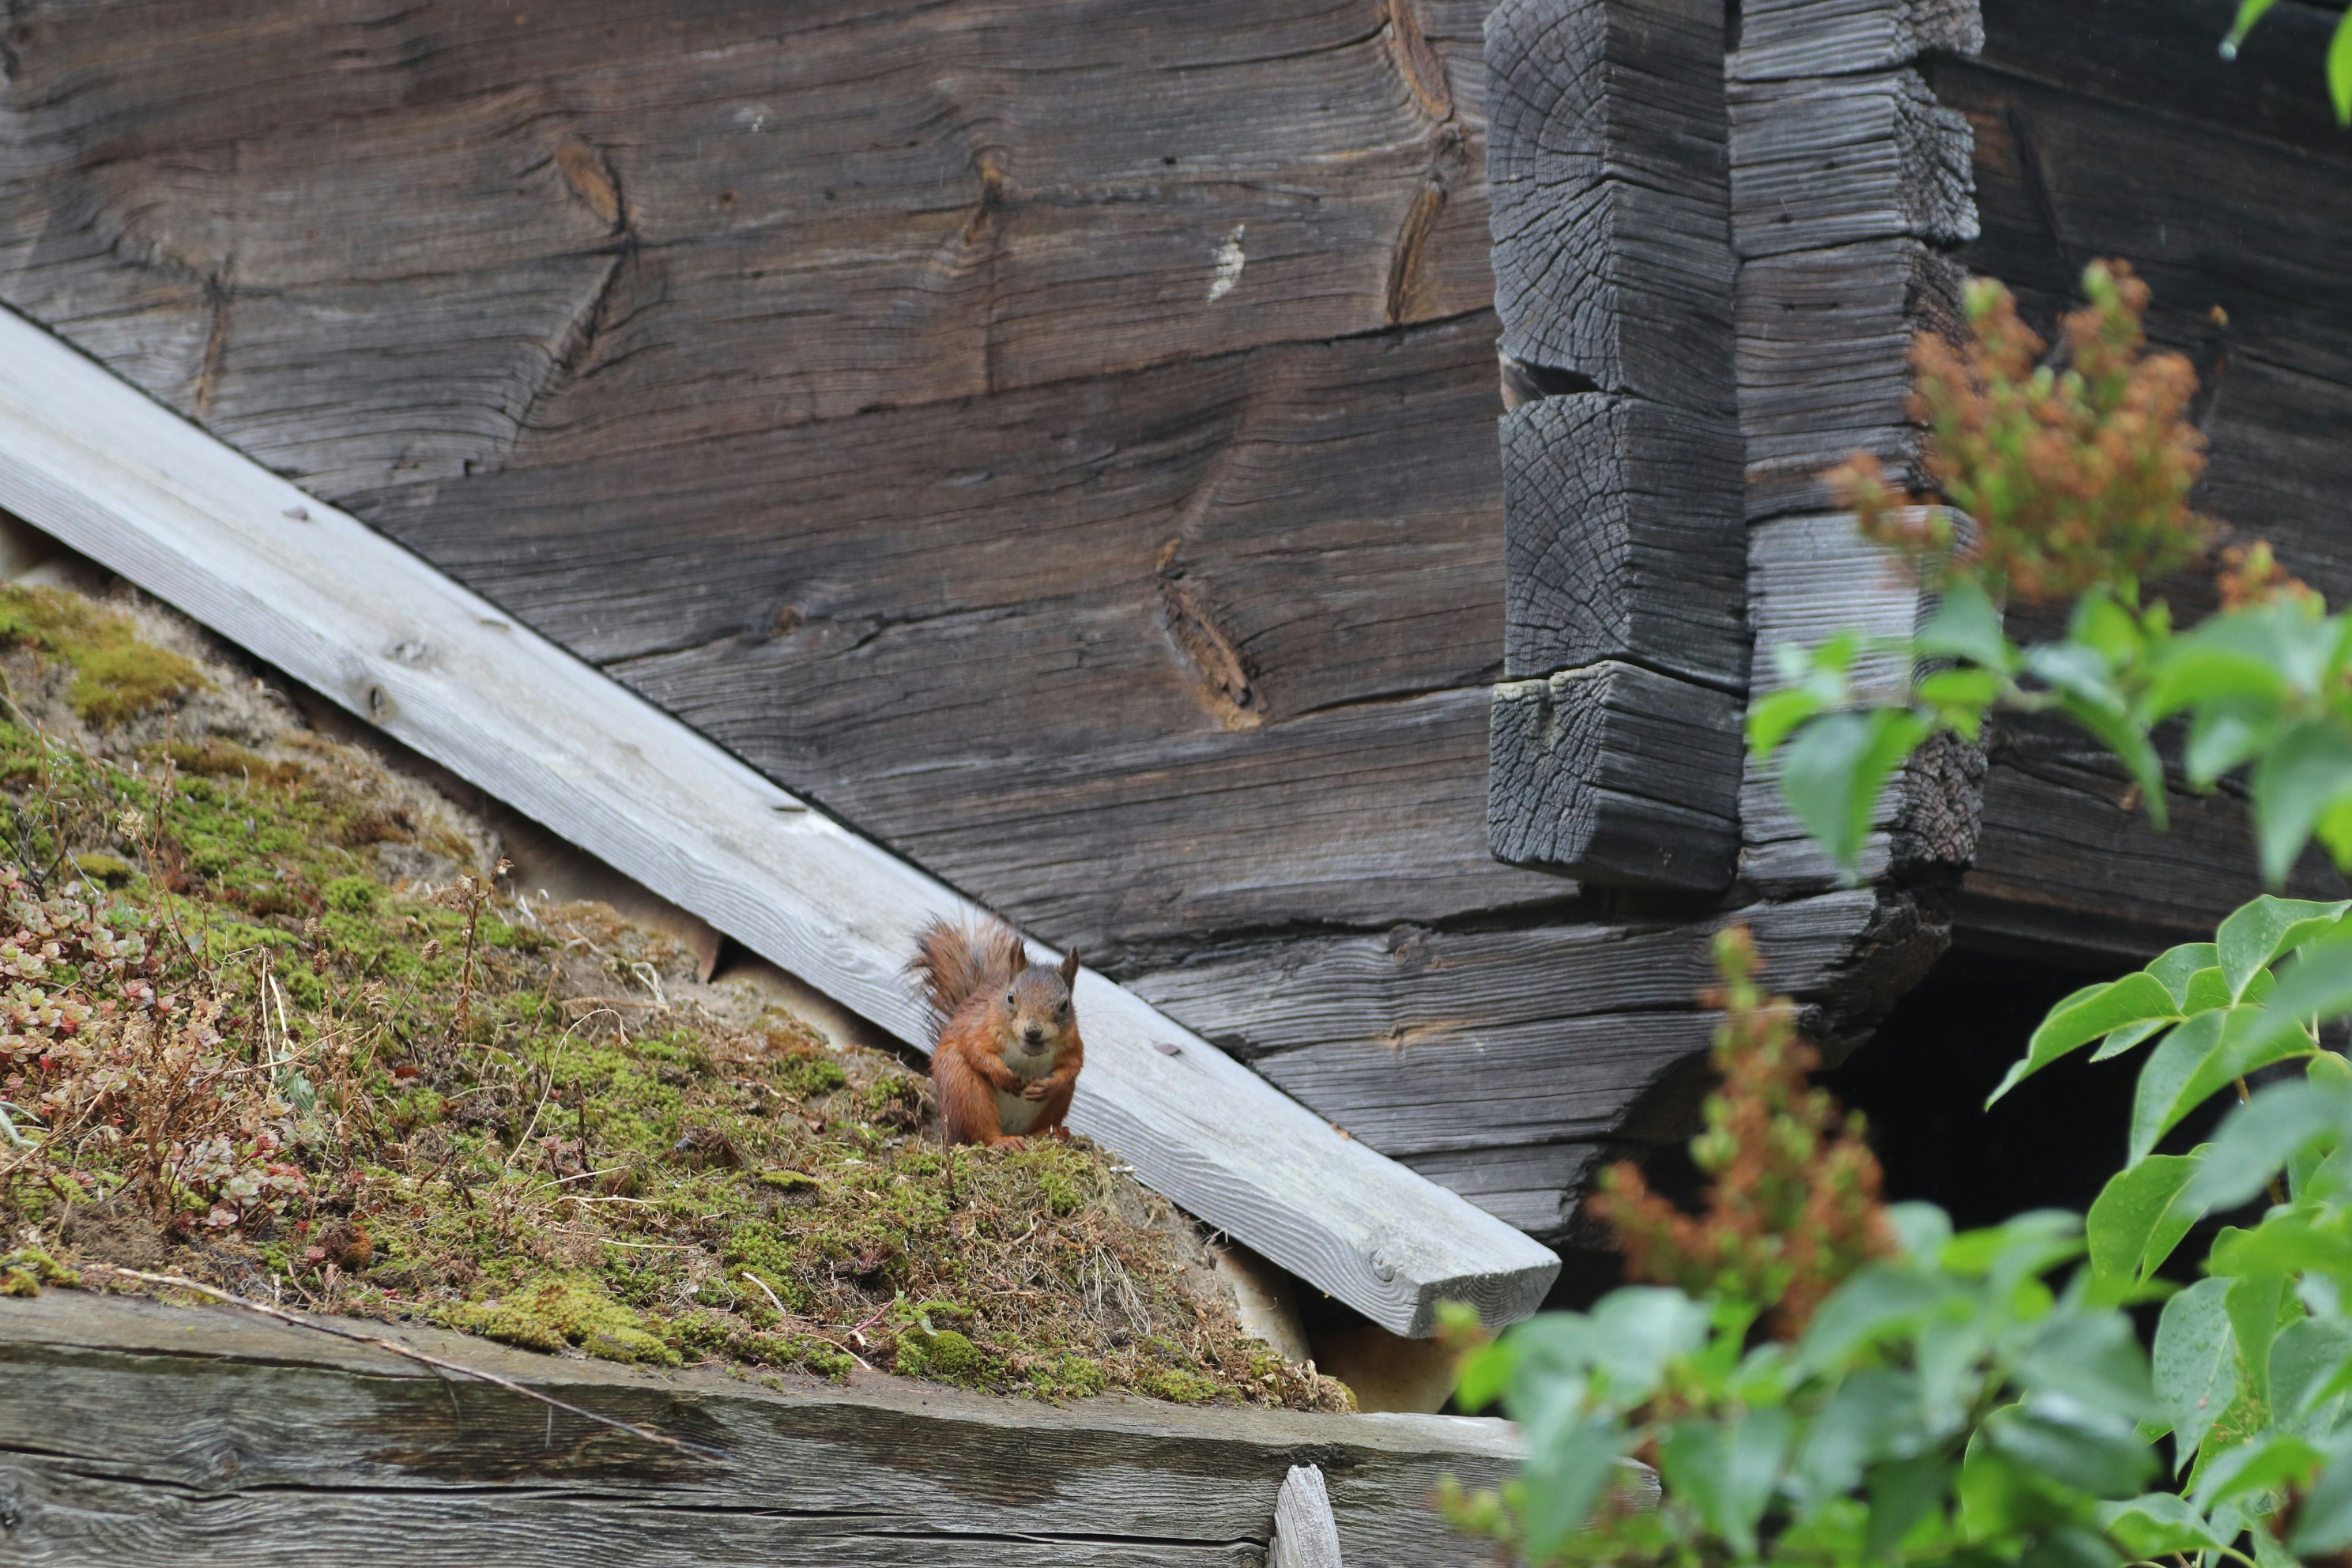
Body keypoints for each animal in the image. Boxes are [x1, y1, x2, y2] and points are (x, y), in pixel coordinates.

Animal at [908, 915, 1084, 1148]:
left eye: (1065, 1006)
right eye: (1010, 997)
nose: (1033, 1031)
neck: (1027, 1055)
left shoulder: (1072, 1043)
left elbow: (1073, 1066)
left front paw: (1049, 1085)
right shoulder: (980, 1027)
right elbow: (974, 1048)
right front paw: (1003, 1075)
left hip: (1057, 1103)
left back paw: (1052, 1132)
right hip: (963, 1086)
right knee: (982, 1132)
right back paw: (1004, 1141)